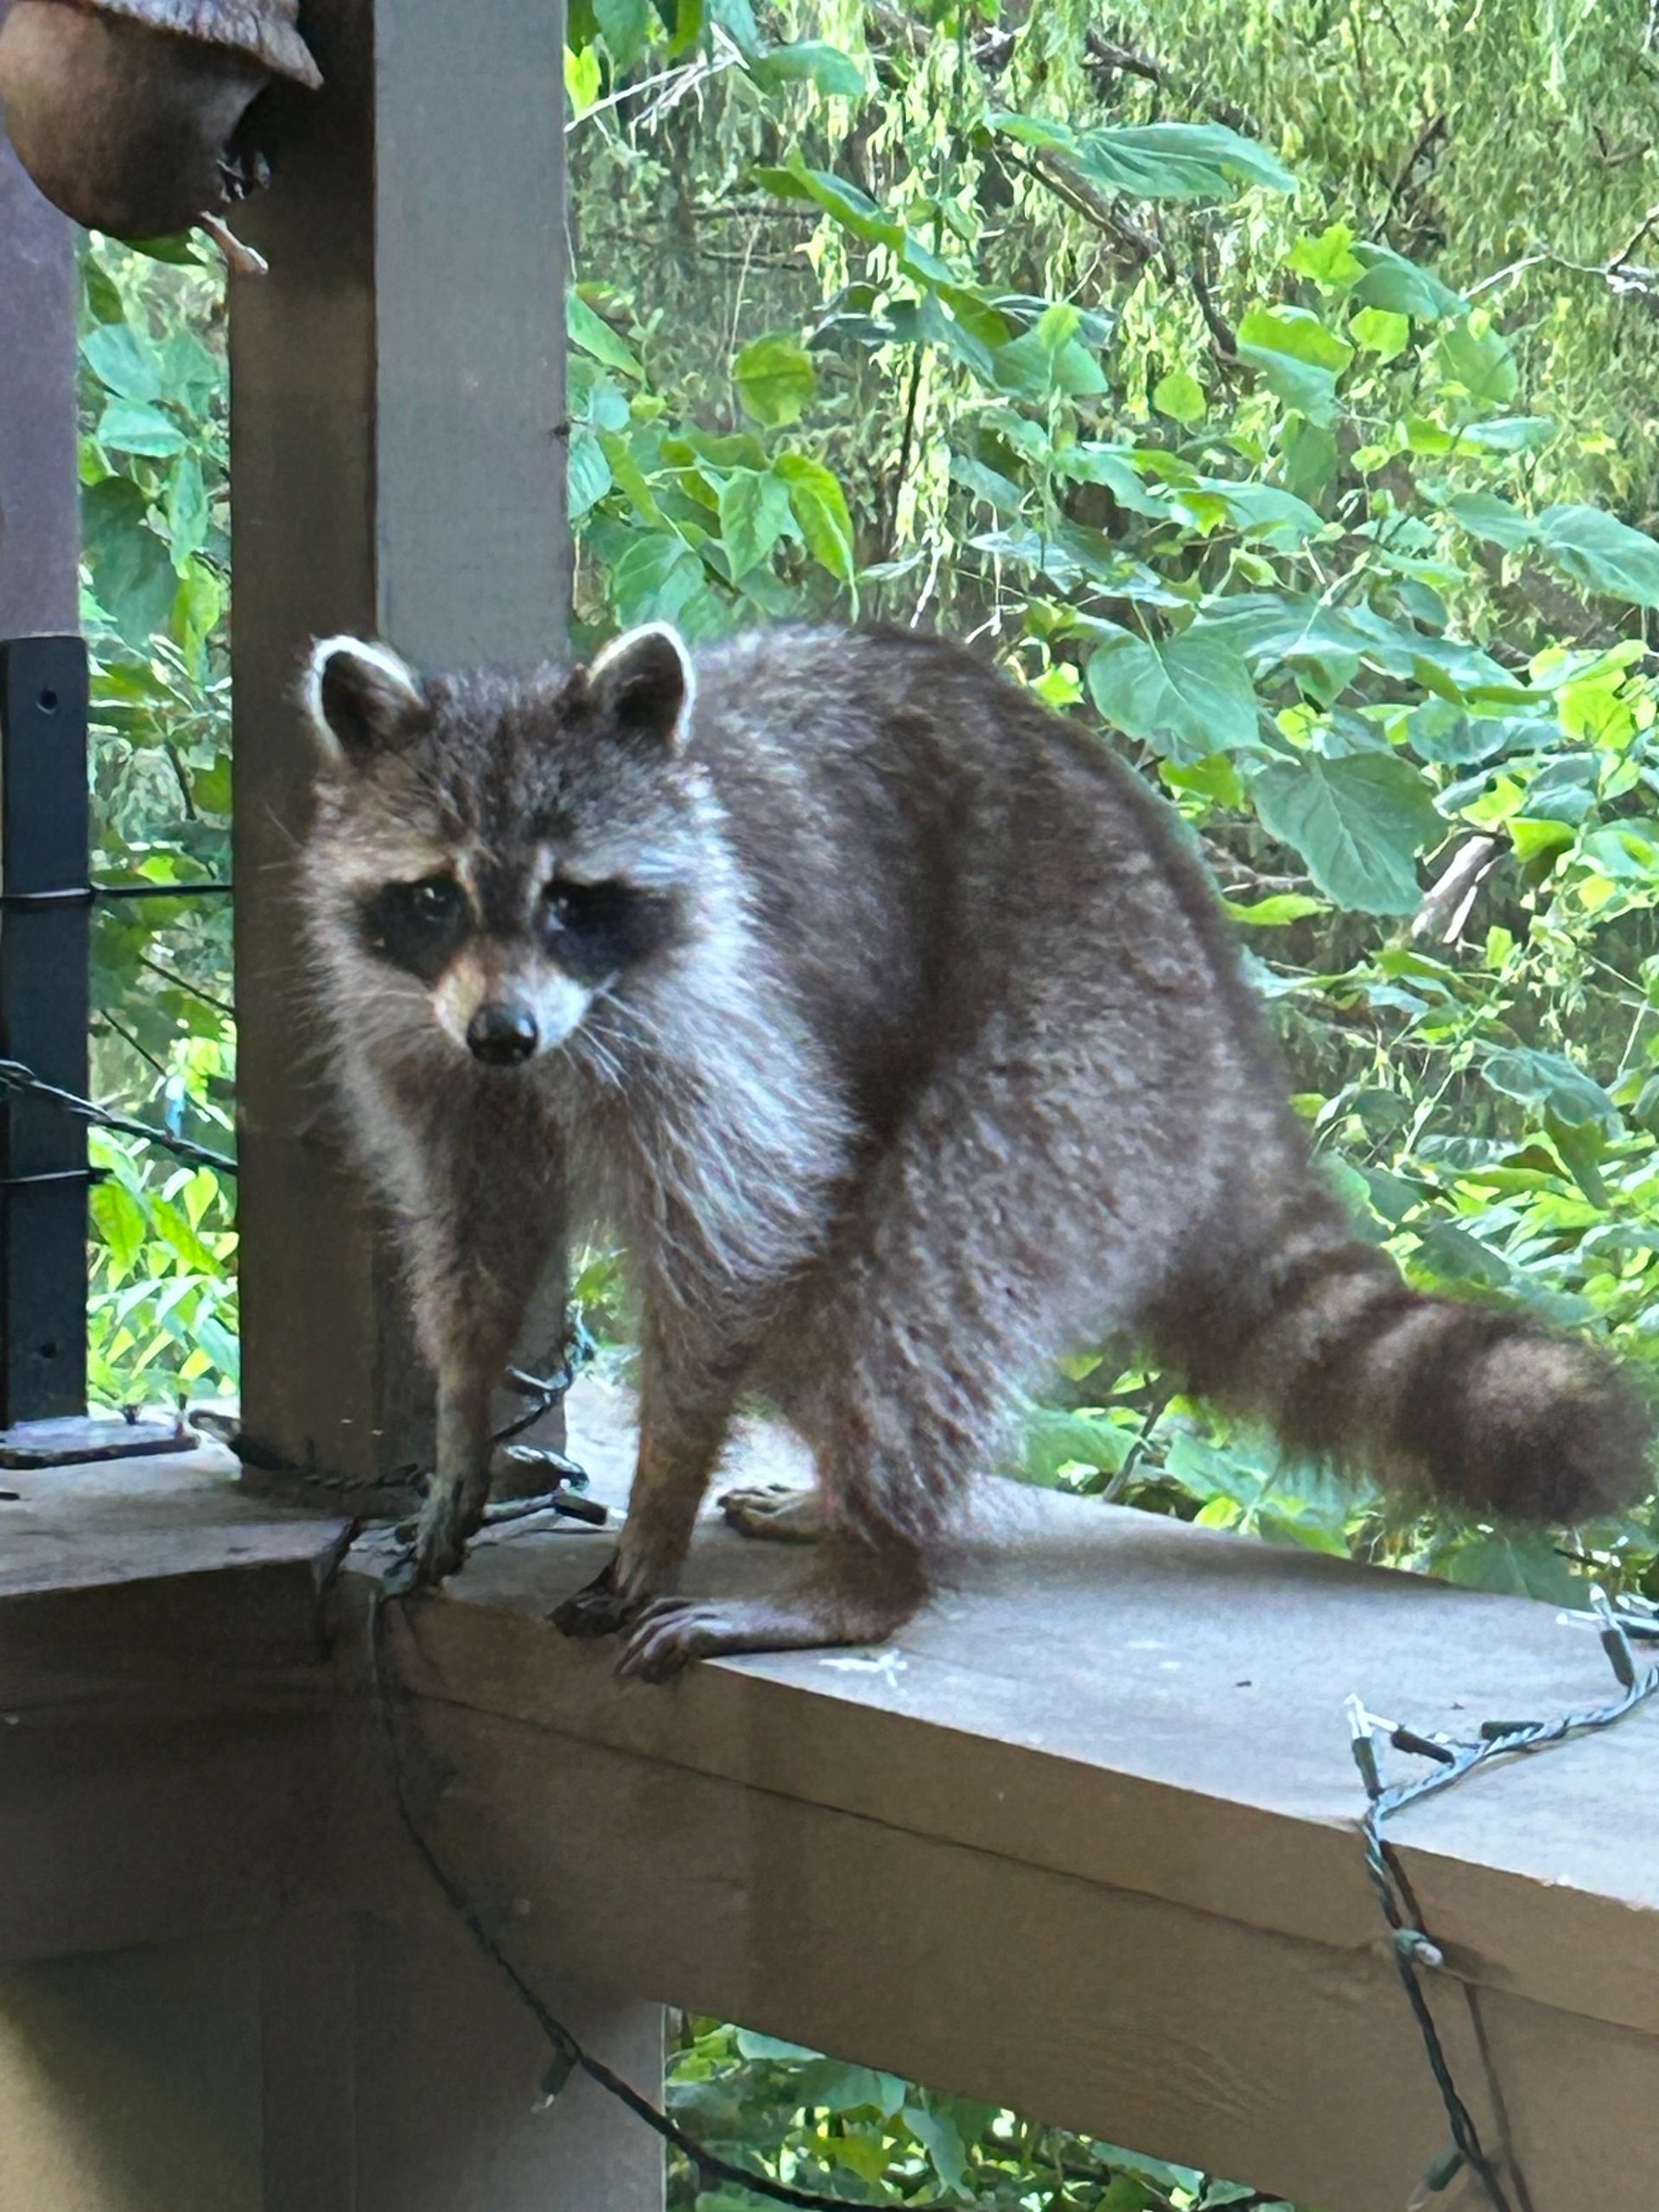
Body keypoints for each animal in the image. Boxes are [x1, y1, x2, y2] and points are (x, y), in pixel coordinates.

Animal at [298, 620, 1650, 1678]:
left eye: (573, 899)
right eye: (436, 895)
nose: (505, 1033)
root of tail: (1223, 1032)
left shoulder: (723, 1023)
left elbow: (732, 1246)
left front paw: (660, 1495)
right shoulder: (424, 1048)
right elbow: (475, 1235)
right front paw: (463, 1418)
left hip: (1084, 1054)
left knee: (910, 1293)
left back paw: (870, 1581)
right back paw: (844, 1509)